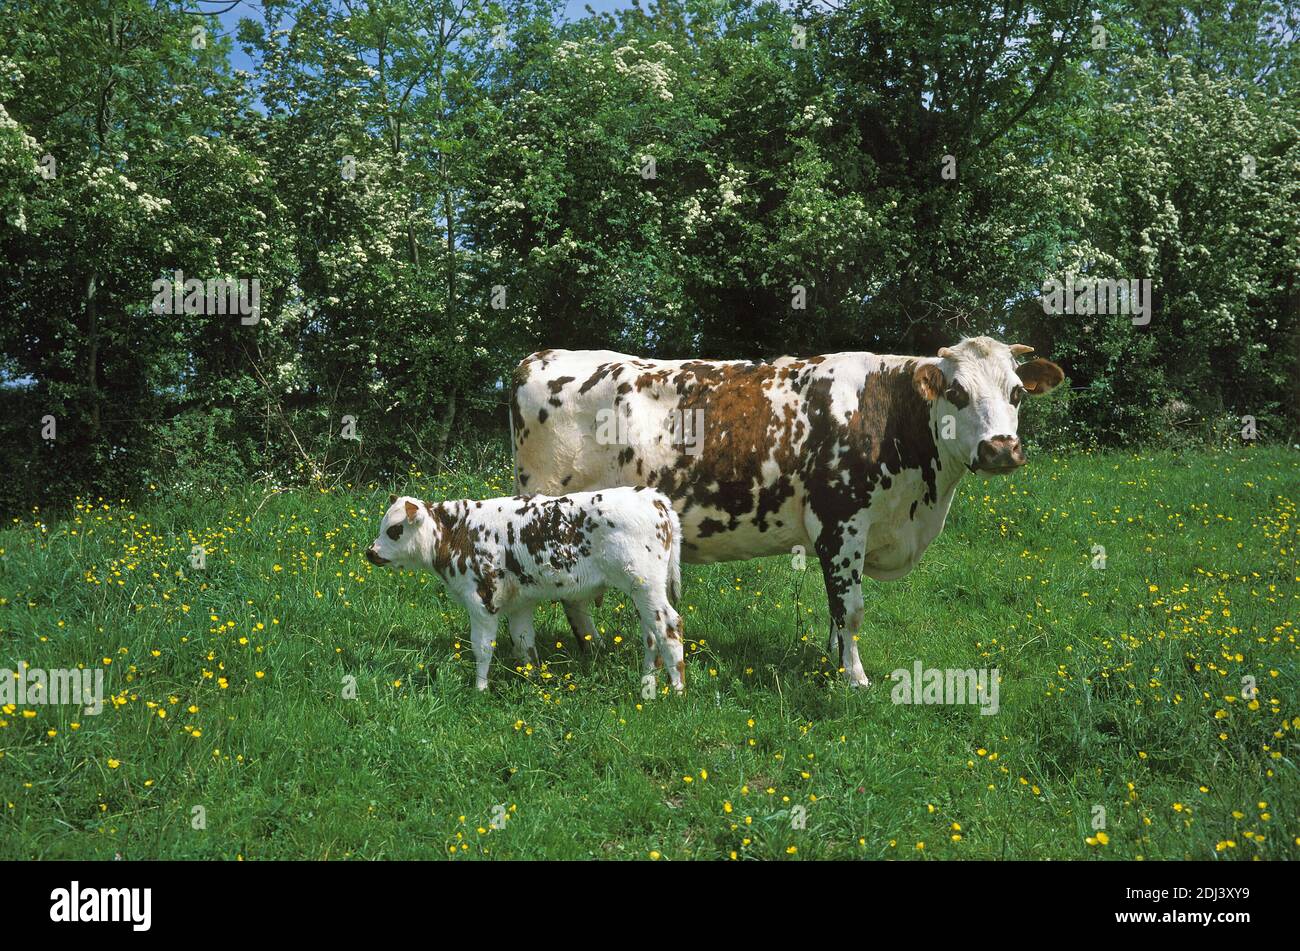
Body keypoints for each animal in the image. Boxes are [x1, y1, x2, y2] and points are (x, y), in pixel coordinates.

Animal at [365, 489, 685, 692]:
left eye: (394, 530)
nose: (370, 552)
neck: (456, 532)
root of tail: (651, 496)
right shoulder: (518, 603)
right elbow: (524, 644)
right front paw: (533, 682)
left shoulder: (481, 600)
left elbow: (482, 647)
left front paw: (480, 689)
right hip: (642, 591)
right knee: (650, 633)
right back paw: (647, 681)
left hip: (646, 585)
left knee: (669, 625)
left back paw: (677, 688)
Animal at [509, 336, 1064, 687]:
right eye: (957, 392)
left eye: (1017, 393)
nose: (1000, 448)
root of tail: (541, 357)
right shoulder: (841, 522)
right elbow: (851, 607)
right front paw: (855, 680)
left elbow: (836, 613)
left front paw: (833, 664)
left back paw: (595, 649)